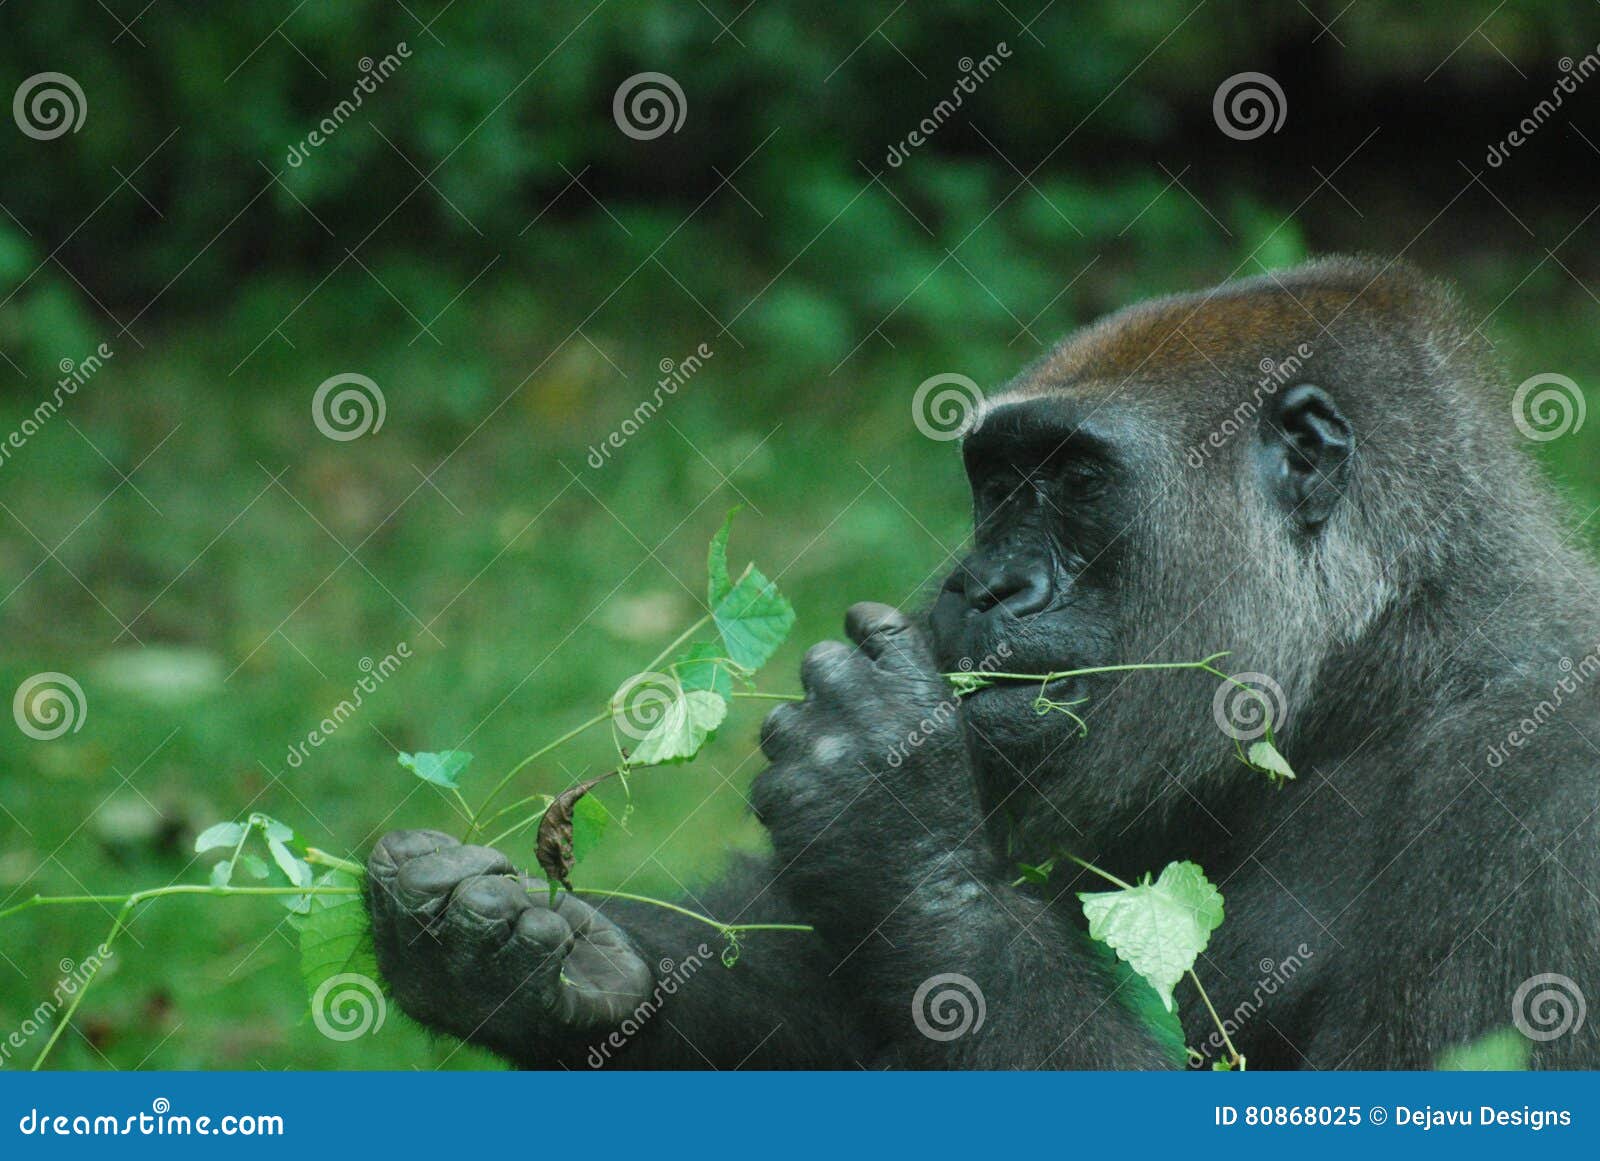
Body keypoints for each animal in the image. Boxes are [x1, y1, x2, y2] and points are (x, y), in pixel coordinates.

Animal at [366, 256, 1600, 1069]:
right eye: (998, 484)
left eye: (1074, 480)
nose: (981, 587)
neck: (1385, 663)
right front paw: (546, 965)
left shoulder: (1550, 778)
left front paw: (888, 812)